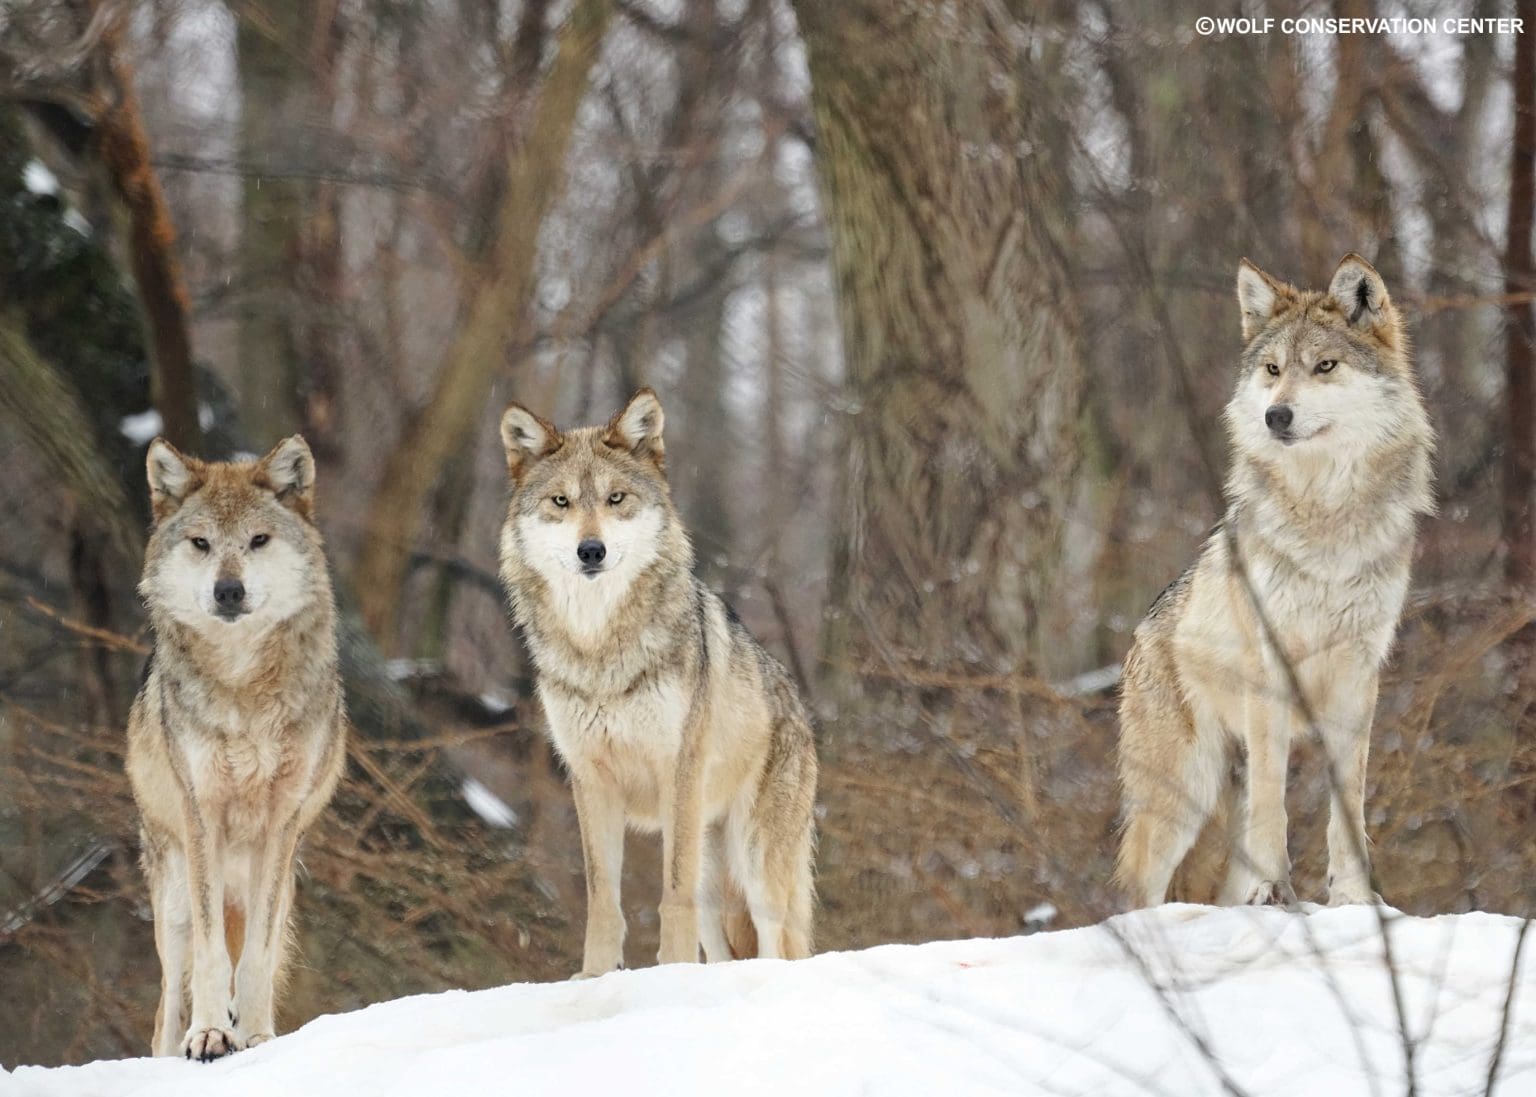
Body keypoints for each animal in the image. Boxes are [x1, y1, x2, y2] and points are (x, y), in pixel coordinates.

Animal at [126, 435, 346, 1059]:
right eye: (201, 543)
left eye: (258, 541)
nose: (228, 590)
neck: (243, 685)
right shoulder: (204, 816)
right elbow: (211, 958)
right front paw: (209, 1033)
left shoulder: (281, 823)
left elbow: (255, 960)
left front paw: (254, 1036)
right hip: (174, 896)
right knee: (167, 1004)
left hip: (268, 885)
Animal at [497, 389, 817, 975]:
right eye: (561, 502)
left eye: (616, 498)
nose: (591, 551)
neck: (600, 650)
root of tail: (798, 706)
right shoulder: (590, 781)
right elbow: (603, 898)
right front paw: (596, 976)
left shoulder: (677, 773)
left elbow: (671, 896)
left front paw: (670, 971)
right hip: (717, 880)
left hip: (754, 864)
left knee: (778, 944)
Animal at [1115, 254, 1435, 909]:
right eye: (1273, 370)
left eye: (1325, 366)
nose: (1276, 415)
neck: (1326, 519)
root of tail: (1140, 634)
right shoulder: (1271, 677)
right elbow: (1275, 804)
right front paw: (1275, 893)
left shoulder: (1359, 680)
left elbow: (1348, 808)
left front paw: (1354, 902)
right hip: (1182, 794)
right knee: (1140, 888)